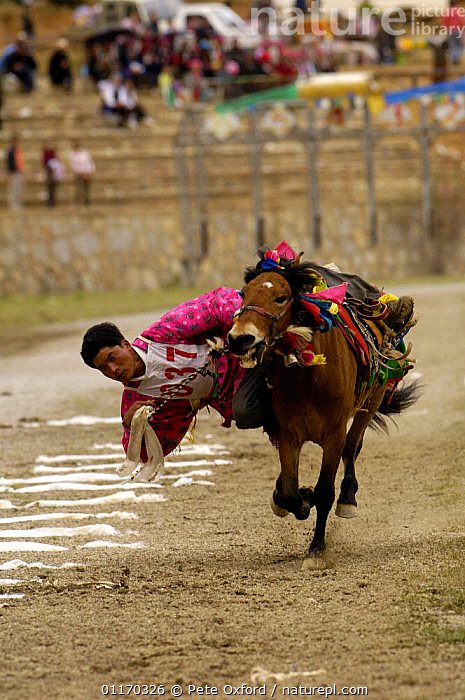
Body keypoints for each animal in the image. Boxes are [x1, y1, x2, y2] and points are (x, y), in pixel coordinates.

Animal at [227, 250, 420, 567]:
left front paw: (316, 549)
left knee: (353, 447)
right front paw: (301, 499)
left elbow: (325, 491)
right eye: (244, 293)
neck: (309, 375)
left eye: (281, 297)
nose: (240, 339)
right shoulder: (289, 434)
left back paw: (348, 498)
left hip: (372, 400)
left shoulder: (333, 434)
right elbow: (290, 491)